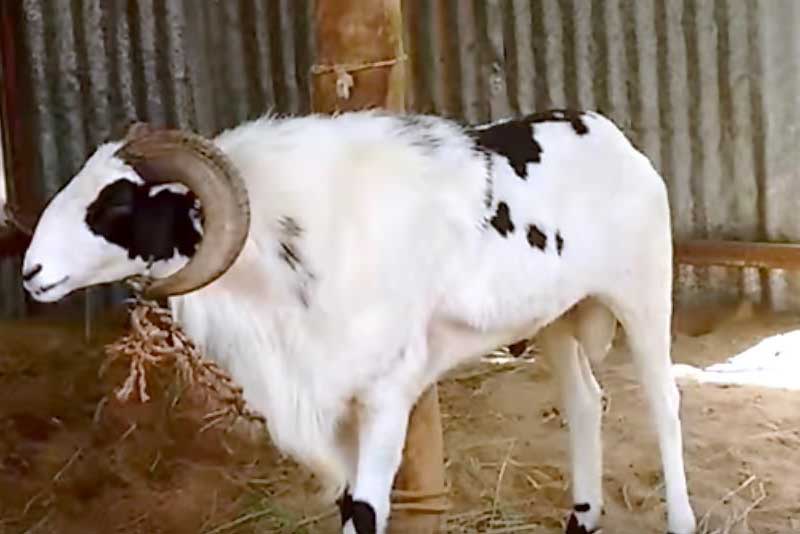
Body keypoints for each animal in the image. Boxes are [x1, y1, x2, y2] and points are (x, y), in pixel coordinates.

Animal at [22, 109, 697, 534]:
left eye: (116, 204)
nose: (31, 272)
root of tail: (610, 135)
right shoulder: (331, 403)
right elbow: (348, 504)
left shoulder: (385, 397)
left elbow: (368, 511)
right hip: (555, 316)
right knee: (584, 401)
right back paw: (581, 518)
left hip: (642, 292)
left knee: (663, 403)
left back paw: (681, 521)